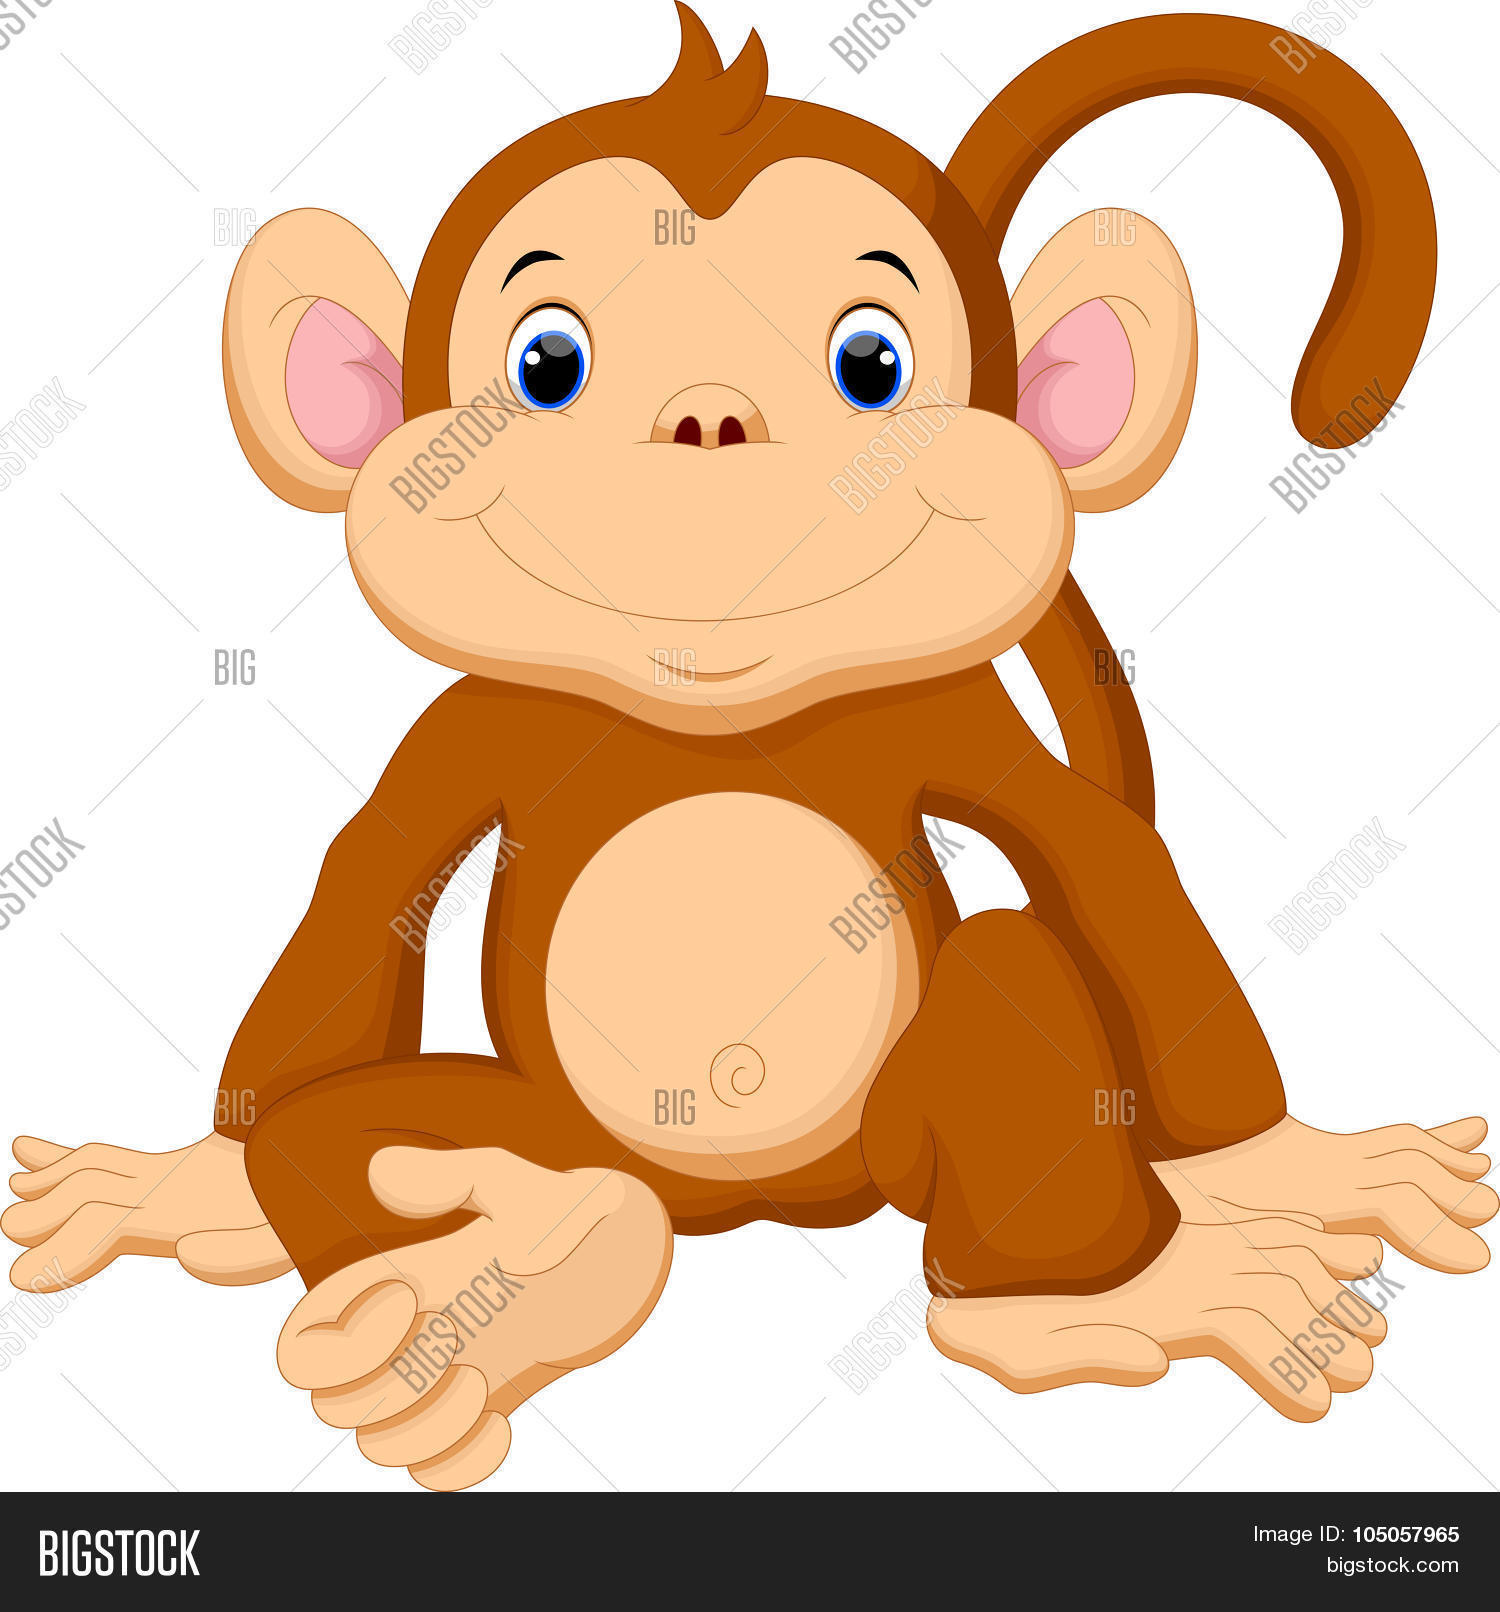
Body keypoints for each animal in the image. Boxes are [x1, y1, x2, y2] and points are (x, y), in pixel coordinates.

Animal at [6, 6, 1495, 1492]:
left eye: (872, 365)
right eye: (546, 366)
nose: (708, 418)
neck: (708, 724)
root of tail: (750, 1207)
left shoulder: (945, 713)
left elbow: (1094, 856)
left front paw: (1287, 1161)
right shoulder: (468, 729)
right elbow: (369, 885)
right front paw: (200, 1176)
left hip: (894, 1155)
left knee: (1012, 964)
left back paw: (1079, 1303)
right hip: (570, 1134)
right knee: (356, 1138)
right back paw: (517, 1272)